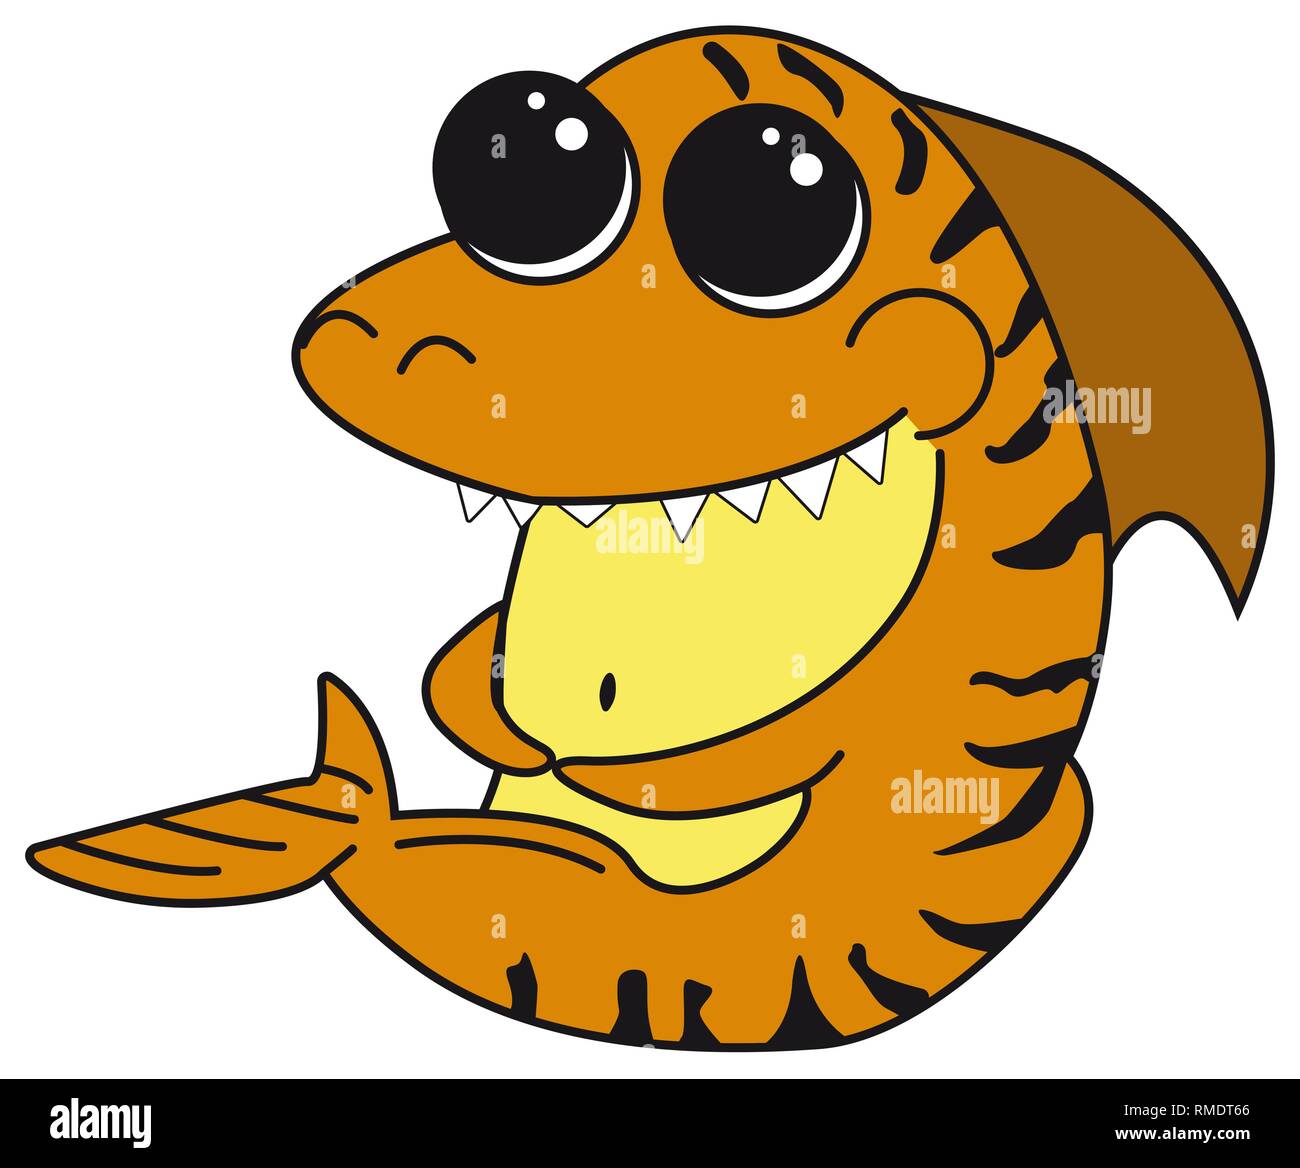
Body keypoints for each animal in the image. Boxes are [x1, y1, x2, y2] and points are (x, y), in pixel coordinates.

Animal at [27, 26, 1272, 1050]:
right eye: (507, 150)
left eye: (776, 191)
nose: (356, 334)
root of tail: (357, 819)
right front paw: (499, 718)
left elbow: (773, 746)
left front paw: (606, 762)